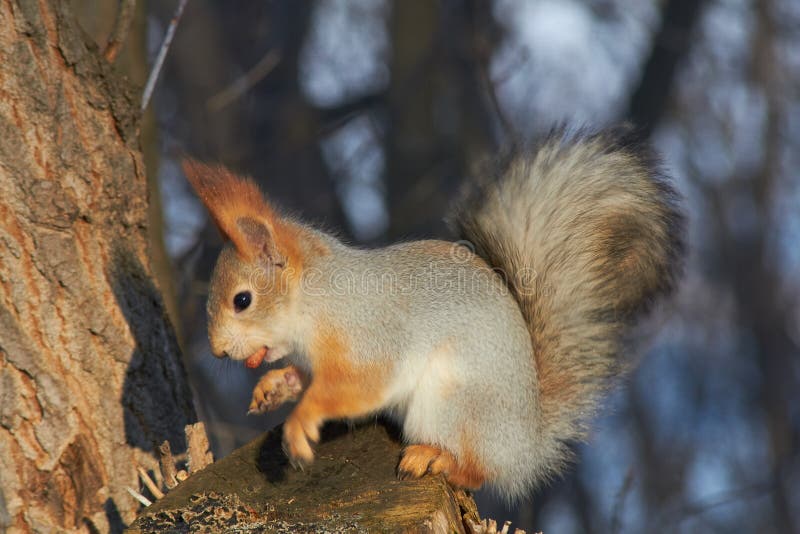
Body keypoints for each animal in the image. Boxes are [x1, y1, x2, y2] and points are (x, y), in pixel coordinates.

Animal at [183, 127, 684, 500]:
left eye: (242, 300)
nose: (217, 350)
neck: (316, 300)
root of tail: (527, 444)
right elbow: (308, 378)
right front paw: (274, 387)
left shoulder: (369, 333)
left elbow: (360, 385)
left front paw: (302, 421)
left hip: (453, 401)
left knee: (478, 471)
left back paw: (437, 457)